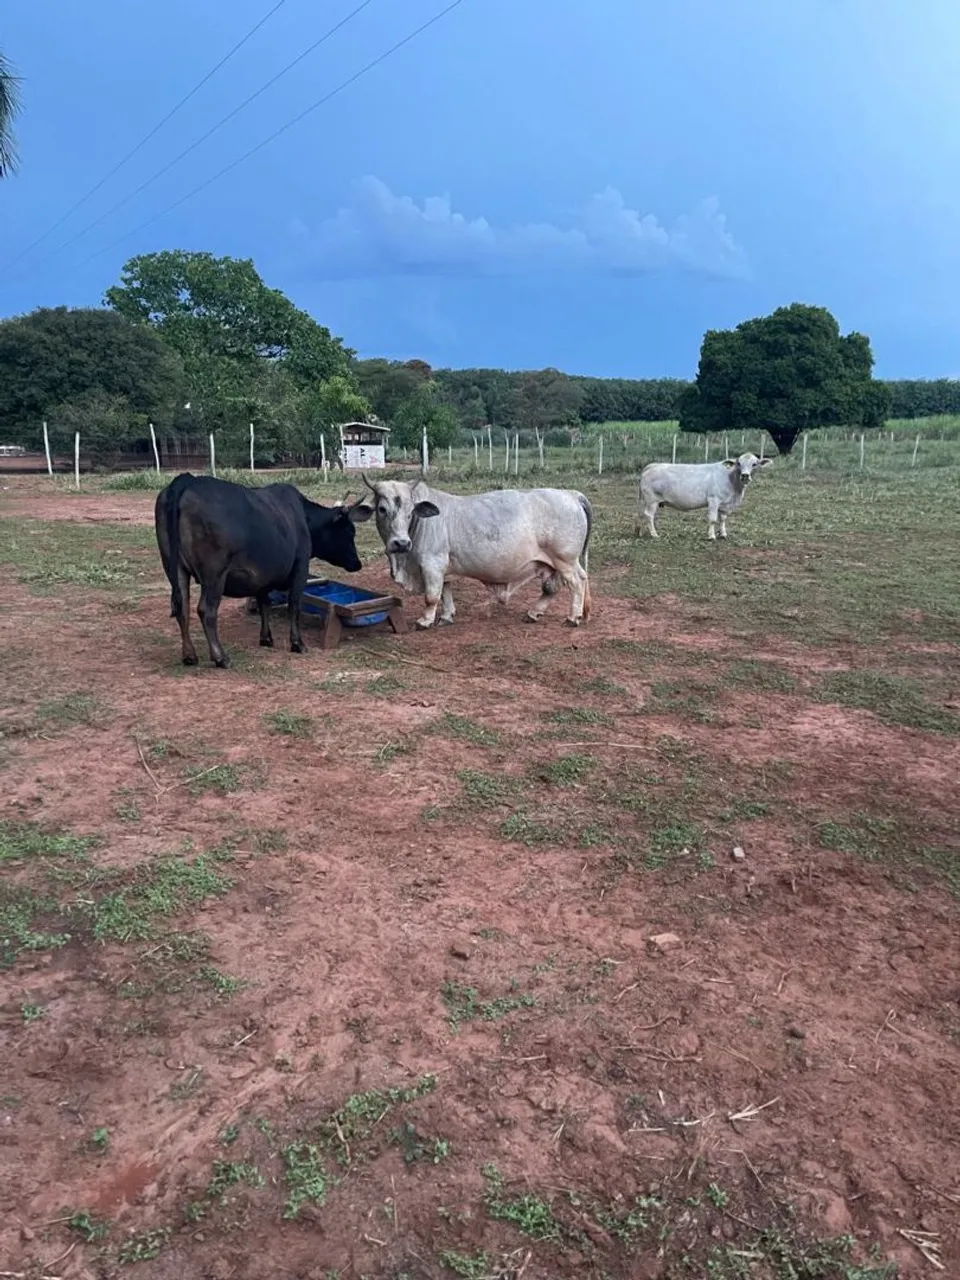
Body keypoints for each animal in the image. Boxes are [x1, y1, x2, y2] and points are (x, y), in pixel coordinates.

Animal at [155, 472, 373, 668]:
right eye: (349, 531)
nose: (357, 563)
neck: (302, 517)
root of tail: (187, 480)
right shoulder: (300, 567)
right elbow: (294, 604)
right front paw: (298, 643)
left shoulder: (262, 576)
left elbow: (264, 604)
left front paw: (266, 638)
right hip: (214, 575)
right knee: (206, 610)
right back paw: (220, 657)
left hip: (175, 568)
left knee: (182, 608)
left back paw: (189, 656)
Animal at [361, 475, 592, 629]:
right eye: (382, 509)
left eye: (411, 511)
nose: (400, 543)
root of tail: (571, 494)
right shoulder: (443, 569)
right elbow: (446, 592)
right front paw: (446, 616)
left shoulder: (432, 565)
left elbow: (432, 596)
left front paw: (425, 620)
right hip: (558, 562)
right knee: (556, 586)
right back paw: (535, 612)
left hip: (565, 560)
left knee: (577, 582)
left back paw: (573, 617)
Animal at [637, 453, 772, 541]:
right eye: (738, 463)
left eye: (754, 464)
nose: (745, 476)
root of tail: (652, 466)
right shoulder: (713, 500)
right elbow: (712, 519)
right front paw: (711, 536)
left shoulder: (724, 504)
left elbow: (723, 519)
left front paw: (723, 534)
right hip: (652, 500)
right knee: (649, 515)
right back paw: (654, 535)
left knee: (642, 515)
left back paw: (640, 532)